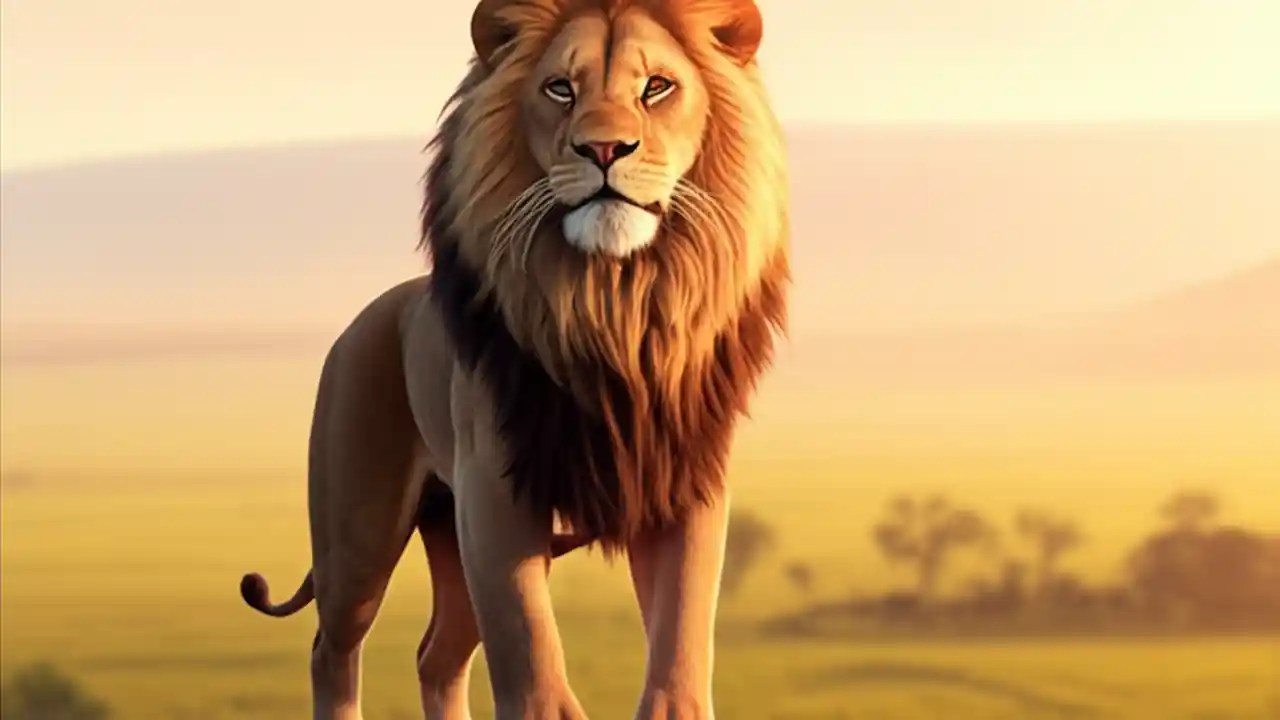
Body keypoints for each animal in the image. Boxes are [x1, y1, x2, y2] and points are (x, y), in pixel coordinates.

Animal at [238, 1, 788, 718]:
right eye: (560, 89)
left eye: (657, 88)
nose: (604, 149)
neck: (610, 304)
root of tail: (366, 316)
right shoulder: (493, 492)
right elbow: (531, 655)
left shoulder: (684, 486)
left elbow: (680, 642)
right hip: (358, 533)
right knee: (332, 649)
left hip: (445, 532)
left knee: (437, 655)